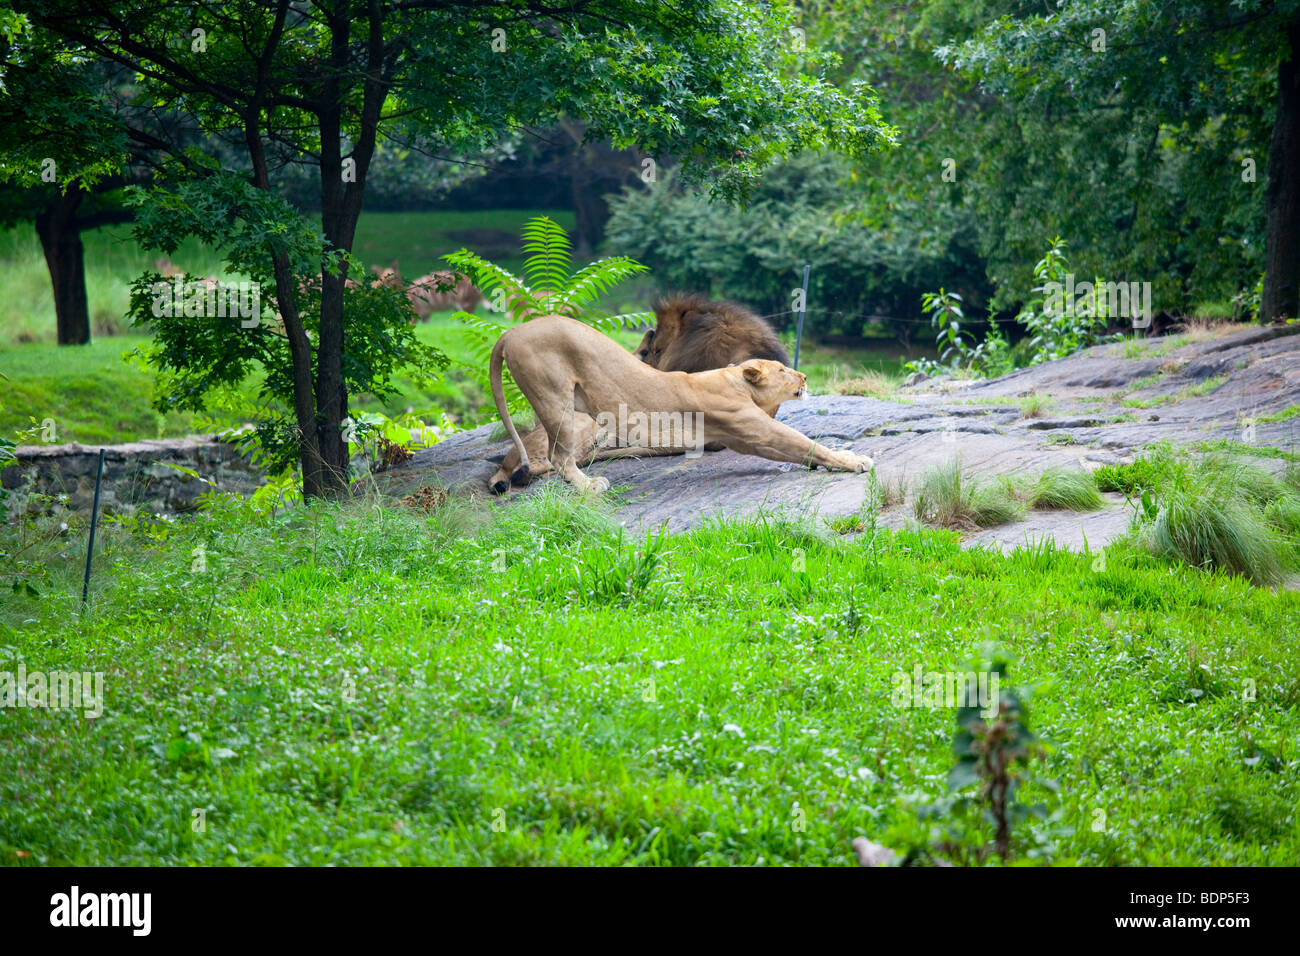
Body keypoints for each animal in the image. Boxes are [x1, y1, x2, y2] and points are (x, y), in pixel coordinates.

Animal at [489, 315, 872, 494]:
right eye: (782, 369)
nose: (805, 376)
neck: (733, 381)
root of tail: (510, 332)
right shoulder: (753, 430)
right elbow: (806, 444)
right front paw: (856, 461)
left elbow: (805, 450)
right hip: (557, 399)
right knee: (558, 458)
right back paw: (591, 487)